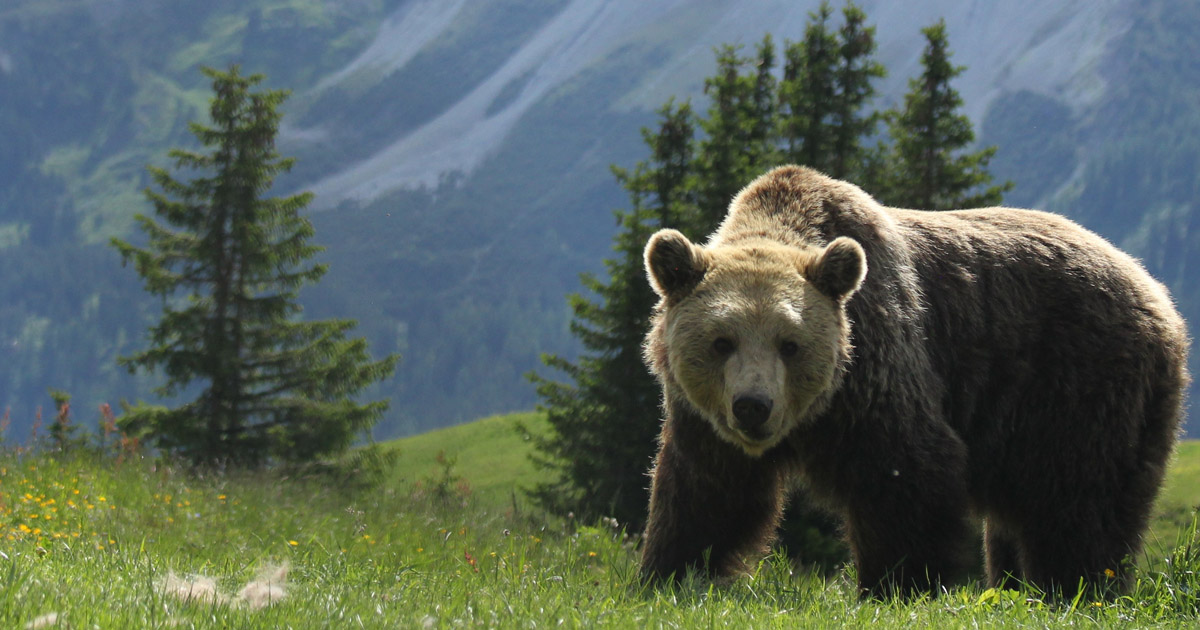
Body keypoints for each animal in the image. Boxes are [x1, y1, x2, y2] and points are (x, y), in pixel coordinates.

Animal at [638, 165, 1189, 598]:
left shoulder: (879, 366)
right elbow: (703, 492)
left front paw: (895, 584)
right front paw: (668, 574)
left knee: (1080, 498)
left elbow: (906, 470)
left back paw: (1073, 587)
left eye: (789, 344)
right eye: (722, 341)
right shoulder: (702, 418)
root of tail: (1157, 293)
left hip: (1080, 381)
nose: (754, 405)